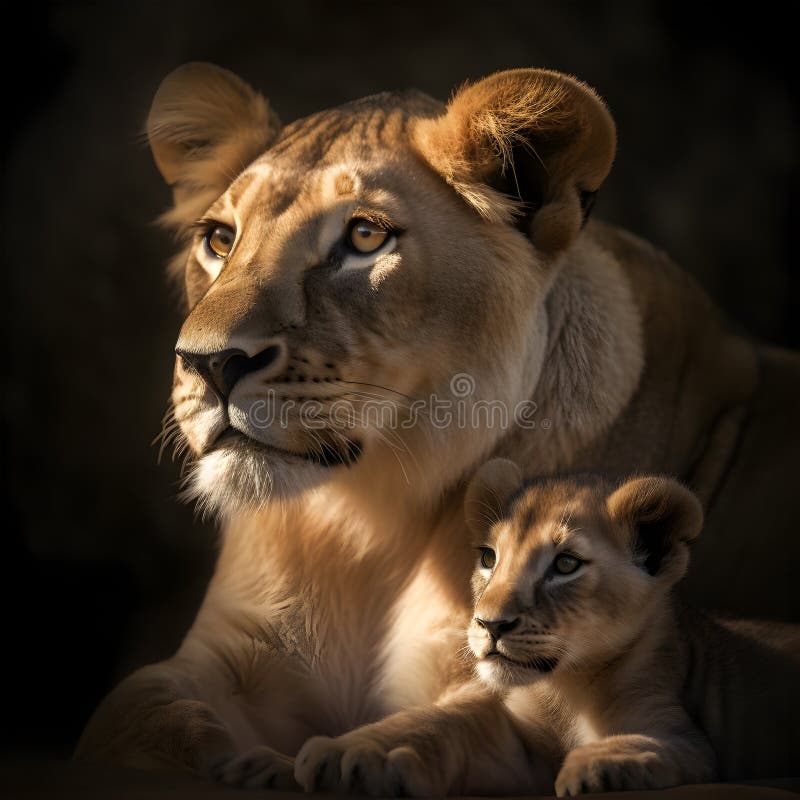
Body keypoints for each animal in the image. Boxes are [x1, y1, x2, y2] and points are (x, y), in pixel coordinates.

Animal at [75, 64, 800, 790]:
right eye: (220, 240)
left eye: (365, 237)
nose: (207, 363)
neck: (359, 530)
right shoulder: (222, 656)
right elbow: (132, 709)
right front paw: (240, 764)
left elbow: (454, 722)